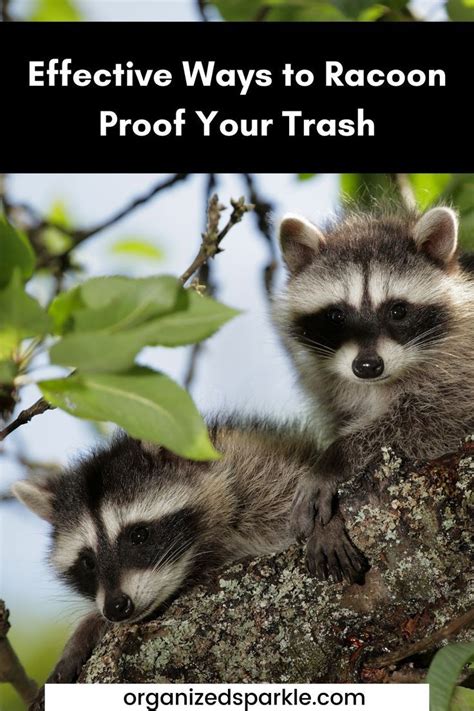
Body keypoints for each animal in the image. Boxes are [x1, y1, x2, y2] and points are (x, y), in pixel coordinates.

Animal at [12, 419, 367, 694]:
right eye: (87, 561)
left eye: (139, 535)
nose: (116, 606)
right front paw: (87, 629)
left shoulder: (260, 474)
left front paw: (325, 523)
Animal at [273, 205, 474, 555]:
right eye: (336, 316)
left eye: (398, 311)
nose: (367, 367)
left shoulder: (459, 370)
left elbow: (433, 423)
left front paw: (336, 456)